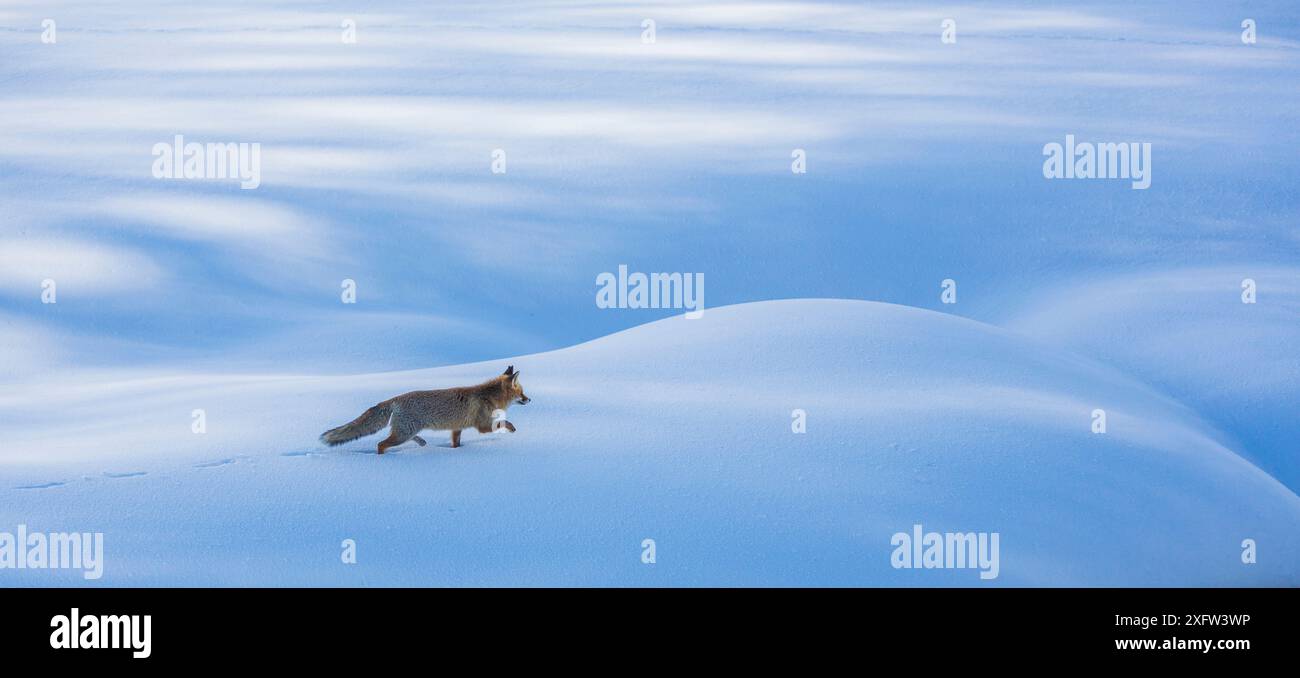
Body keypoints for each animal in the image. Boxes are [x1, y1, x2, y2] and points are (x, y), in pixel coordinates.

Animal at [320, 365, 531, 454]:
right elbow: (503, 423)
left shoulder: (457, 428)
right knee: (380, 444)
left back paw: (422, 443)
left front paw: (457, 452)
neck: (488, 396)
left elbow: (456, 444)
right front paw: (512, 428)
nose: (529, 399)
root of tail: (394, 399)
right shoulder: (482, 425)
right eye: (522, 392)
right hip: (403, 434)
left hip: (406, 430)